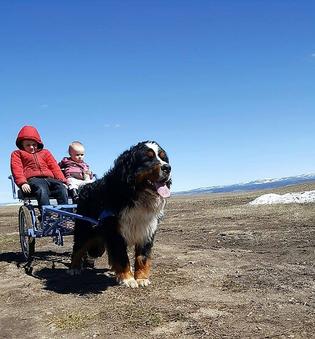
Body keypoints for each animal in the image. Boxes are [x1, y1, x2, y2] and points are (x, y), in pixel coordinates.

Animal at [69, 142, 173, 288]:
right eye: (148, 158)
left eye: (164, 158)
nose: (167, 167)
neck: (135, 195)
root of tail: (85, 187)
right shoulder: (115, 230)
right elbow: (121, 256)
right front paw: (127, 278)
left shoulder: (147, 229)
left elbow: (142, 257)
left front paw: (141, 278)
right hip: (84, 227)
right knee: (78, 247)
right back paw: (74, 268)